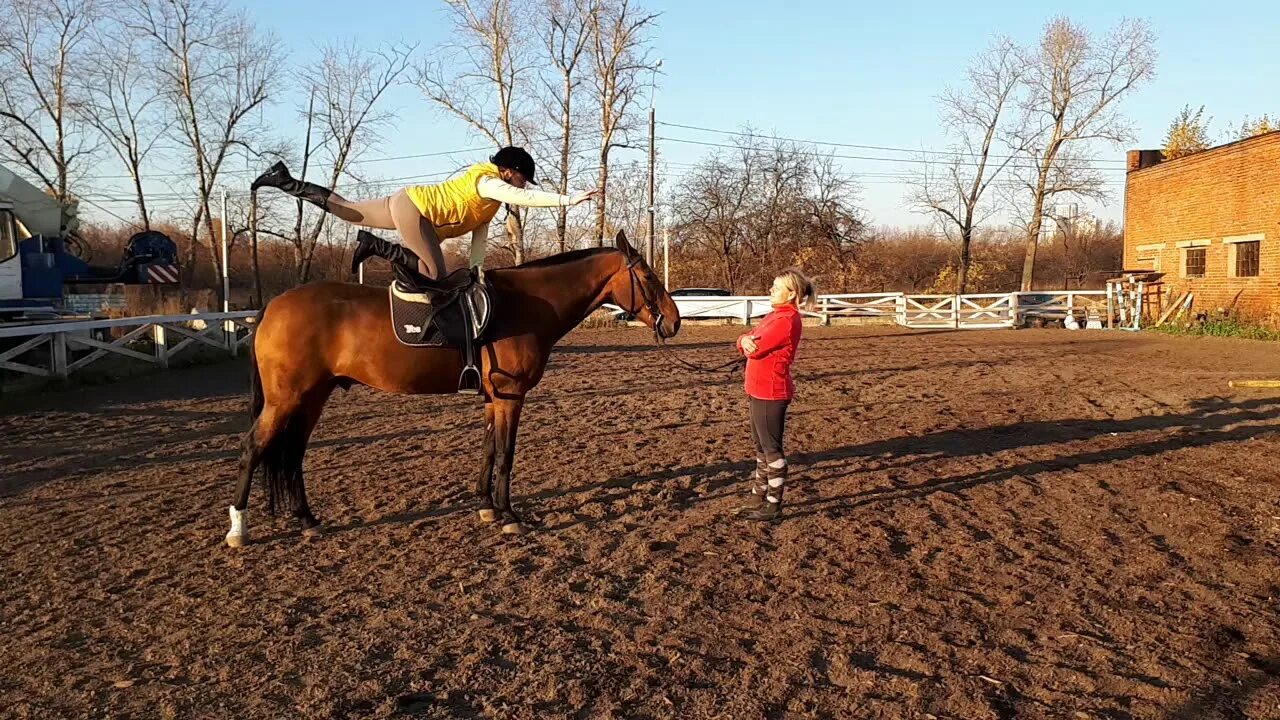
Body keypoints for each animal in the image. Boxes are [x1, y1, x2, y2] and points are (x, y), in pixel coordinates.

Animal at [226, 229, 680, 543]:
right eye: (647, 275)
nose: (674, 321)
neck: (522, 305)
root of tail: (274, 305)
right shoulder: (511, 397)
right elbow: (506, 454)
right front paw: (509, 516)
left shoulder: (493, 399)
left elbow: (488, 450)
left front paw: (486, 508)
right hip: (286, 400)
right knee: (253, 448)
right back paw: (239, 529)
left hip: (311, 398)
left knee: (293, 455)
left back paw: (306, 519)